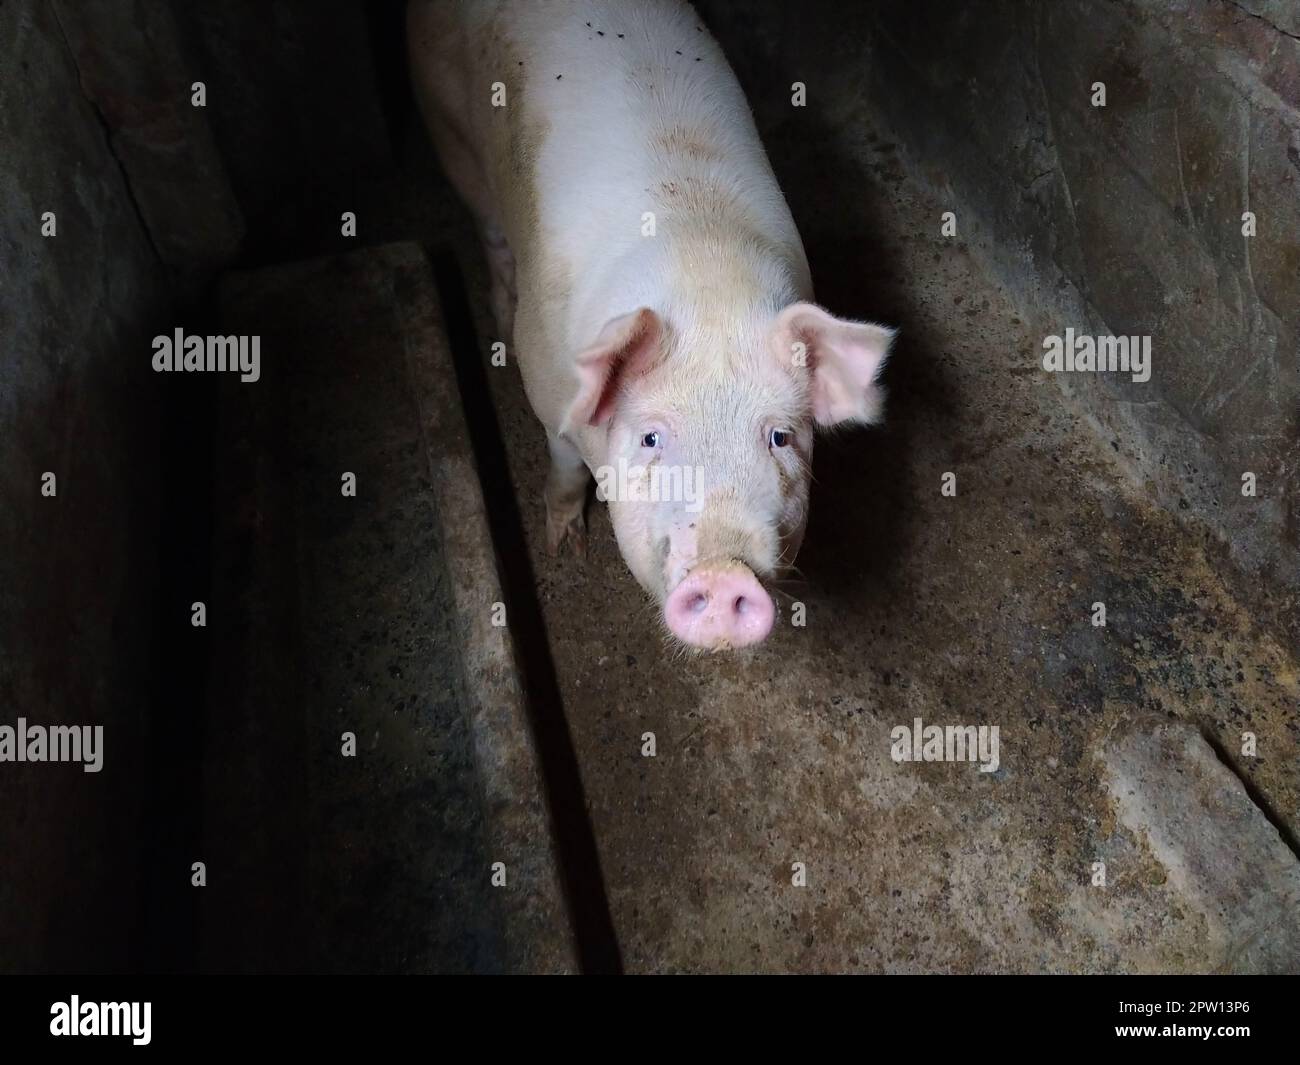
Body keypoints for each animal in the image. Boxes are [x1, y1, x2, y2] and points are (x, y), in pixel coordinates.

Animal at [408, 0, 895, 650]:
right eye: (651, 438)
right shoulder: (551, 395)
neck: (706, 283)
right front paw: (565, 547)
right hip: (449, 130)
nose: (723, 570)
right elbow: (565, 469)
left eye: (779, 437)